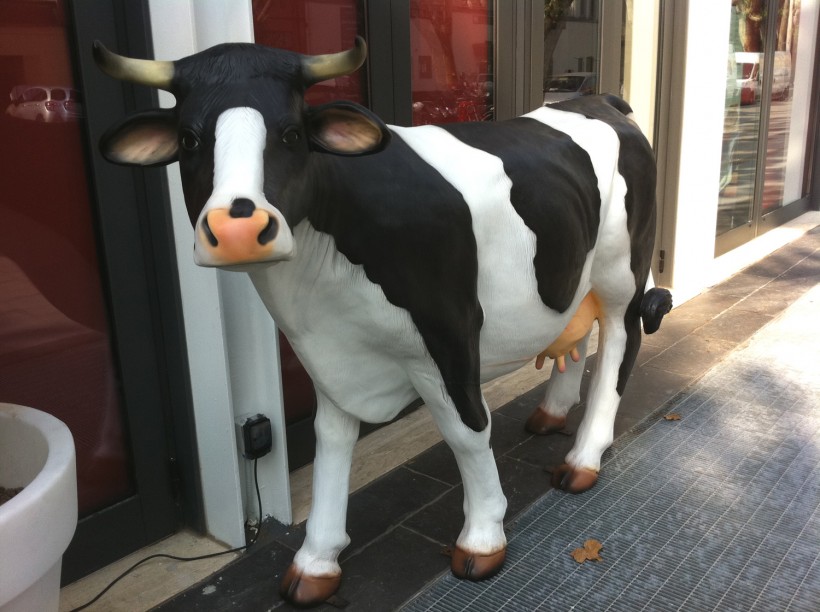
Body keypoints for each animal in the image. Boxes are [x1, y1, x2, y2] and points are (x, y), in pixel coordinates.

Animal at [93, 37, 672, 607]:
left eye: (292, 133)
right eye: (189, 139)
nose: (238, 230)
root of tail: (599, 101)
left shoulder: (450, 332)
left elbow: (467, 433)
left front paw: (483, 538)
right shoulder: (328, 349)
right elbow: (330, 440)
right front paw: (316, 559)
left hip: (622, 270)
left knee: (620, 344)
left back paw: (584, 457)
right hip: (574, 271)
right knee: (576, 331)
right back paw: (551, 413)